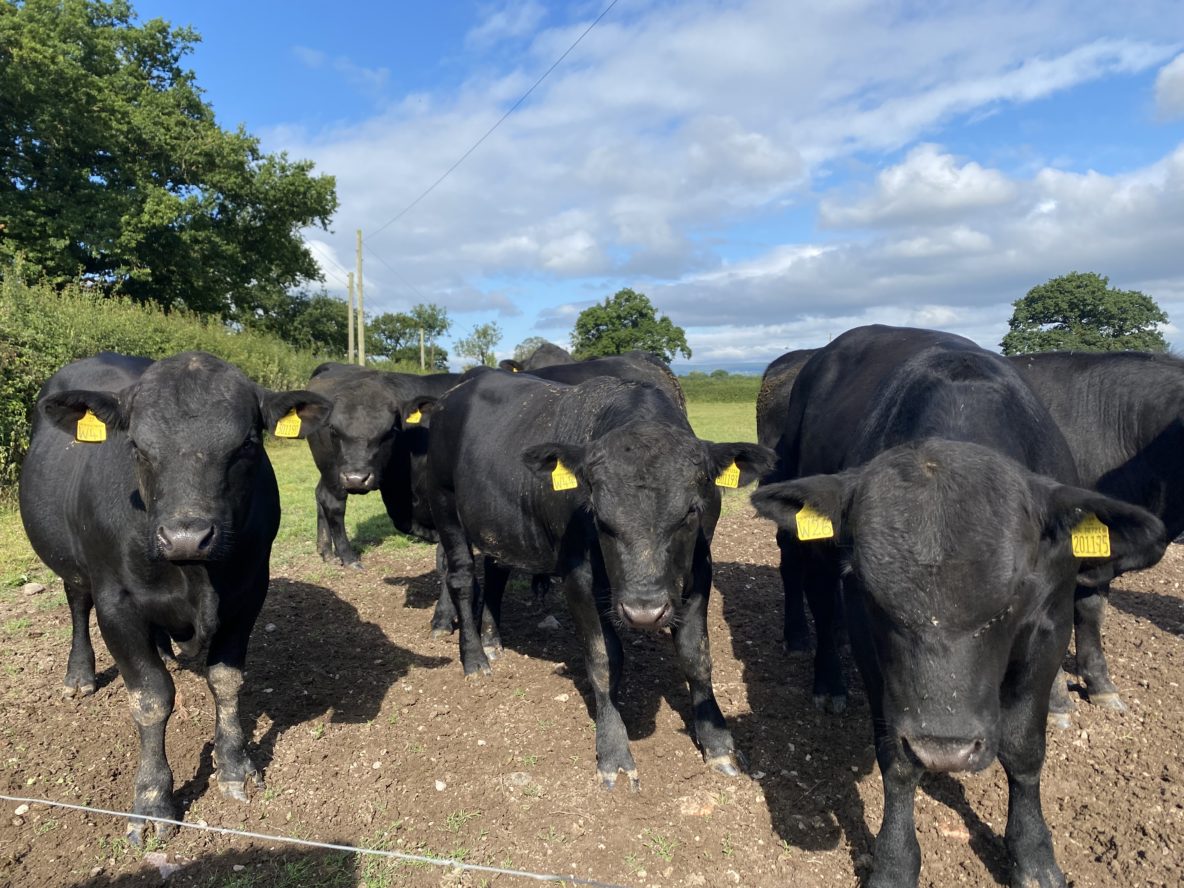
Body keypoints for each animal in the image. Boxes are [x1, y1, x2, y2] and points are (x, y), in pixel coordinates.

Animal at [19, 351, 331, 843]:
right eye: (136, 446)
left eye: (247, 444)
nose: (187, 536)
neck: (194, 576)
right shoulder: (117, 604)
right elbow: (150, 698)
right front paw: (152, 799)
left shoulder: (249, 594)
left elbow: (226, 680)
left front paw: (234, 766)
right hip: (73, 564)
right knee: (76, 601)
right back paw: (79, 674)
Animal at [303, 362, 461, 566]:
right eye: (333, 429)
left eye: (390, 431)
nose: (356, 479)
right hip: (333, 470)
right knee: (332, 503)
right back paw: (348, 556)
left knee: (320, 494)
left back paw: (326, 551)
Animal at [423, 370, 773, 789]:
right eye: (599, 515)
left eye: (690, 511)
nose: (643, 611)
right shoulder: (578, 578)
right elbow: (604, 660)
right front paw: (614, 751)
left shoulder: (699, 572)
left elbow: (696, 655)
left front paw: (718, 742)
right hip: (443, 502)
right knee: (461, 577)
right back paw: (474, 657)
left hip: (498, 524)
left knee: (495, 571)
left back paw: (492, 640)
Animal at [751, 326, 1165, 888]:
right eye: (869, 589)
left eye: (1014, 592)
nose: (943, 750)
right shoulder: (870, 640)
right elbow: (895, 759)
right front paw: (895, 862)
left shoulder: (1051, 625)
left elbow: (1024, 748)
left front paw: (1034, 855)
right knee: (815, 593)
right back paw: (828, 681)